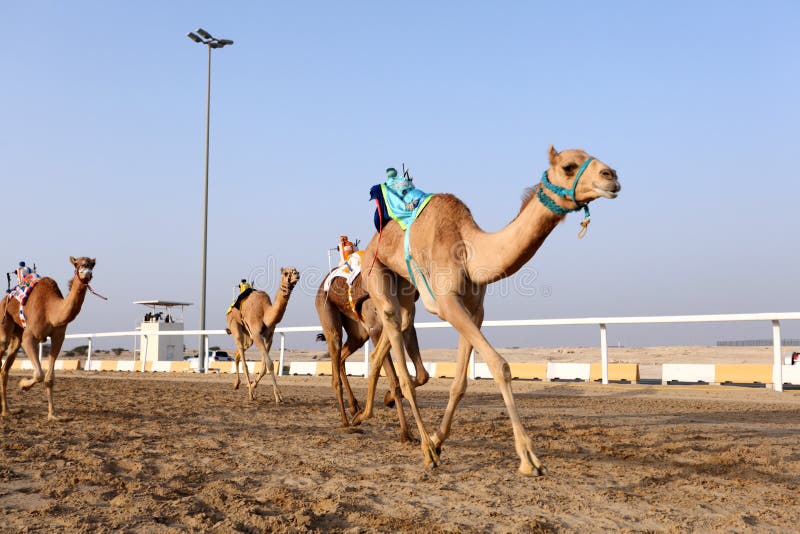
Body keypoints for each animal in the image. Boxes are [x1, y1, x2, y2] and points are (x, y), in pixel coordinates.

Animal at [0, 256, 97, 420]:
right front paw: (23, 385)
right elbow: (39, 374)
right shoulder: (29, 336)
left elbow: (49, 378)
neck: (51, 311)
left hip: (17, 336)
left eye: (92, 264)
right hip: (4, 324)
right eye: (77, 264)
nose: (86, 273)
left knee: (4, 370)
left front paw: (53, 416)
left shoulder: (58, 337)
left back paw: (7, 411)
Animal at [226, 267, 300, 402]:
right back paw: (250, 394)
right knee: (243, 360)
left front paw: (254, 386)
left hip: (248, 336)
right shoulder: (257, 335)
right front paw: (278, 396)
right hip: (235, 325)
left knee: (237, 354)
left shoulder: (268, 337)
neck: (266, 313)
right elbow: (270, 364)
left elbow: (264, 366)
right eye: (286, 273)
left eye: (295, 270)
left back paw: (237, 384)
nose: (297, 274)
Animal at [314, 271, 428, 442]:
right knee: (336, 365)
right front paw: (405, 433)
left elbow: (422, 375)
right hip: (329, 317)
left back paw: (354, 407)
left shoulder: (406, 325)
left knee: (341, 358)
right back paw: (346, 422)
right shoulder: (375, 329)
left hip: (358, 334)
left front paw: (389, 400)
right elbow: (393, 380)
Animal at [361, 146, 621, 475]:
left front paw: (438, 439)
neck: (469, 249)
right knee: (397, 344)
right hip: (375, 270)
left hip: (407, 288)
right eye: (569, 166)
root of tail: (372, 240)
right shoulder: (447, 303)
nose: (611, 176)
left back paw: (369, 415)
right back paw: (422, 448)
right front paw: (528, 458)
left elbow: (459, 384)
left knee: (397, 329)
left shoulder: (474, 310)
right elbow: (501, 366)